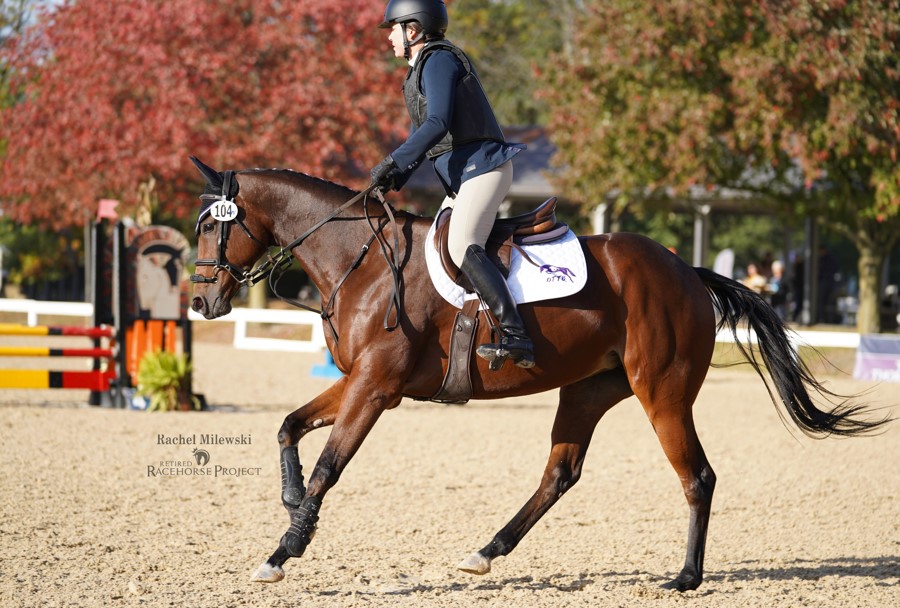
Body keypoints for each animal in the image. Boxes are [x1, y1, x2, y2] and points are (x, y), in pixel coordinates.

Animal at [187, 157, 887, 592]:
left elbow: (329, 466)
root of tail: (685, 271)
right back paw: (484, 553)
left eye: (212, 228)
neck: (361, 261)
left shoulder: (376, 389)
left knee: (697, 476)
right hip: (588, 389)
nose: (200, 303)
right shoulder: (359, 380)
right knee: (560, 473)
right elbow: (287, 426)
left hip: (662, 393)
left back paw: (686, 577)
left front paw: (283, 552)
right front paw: (289, 503)